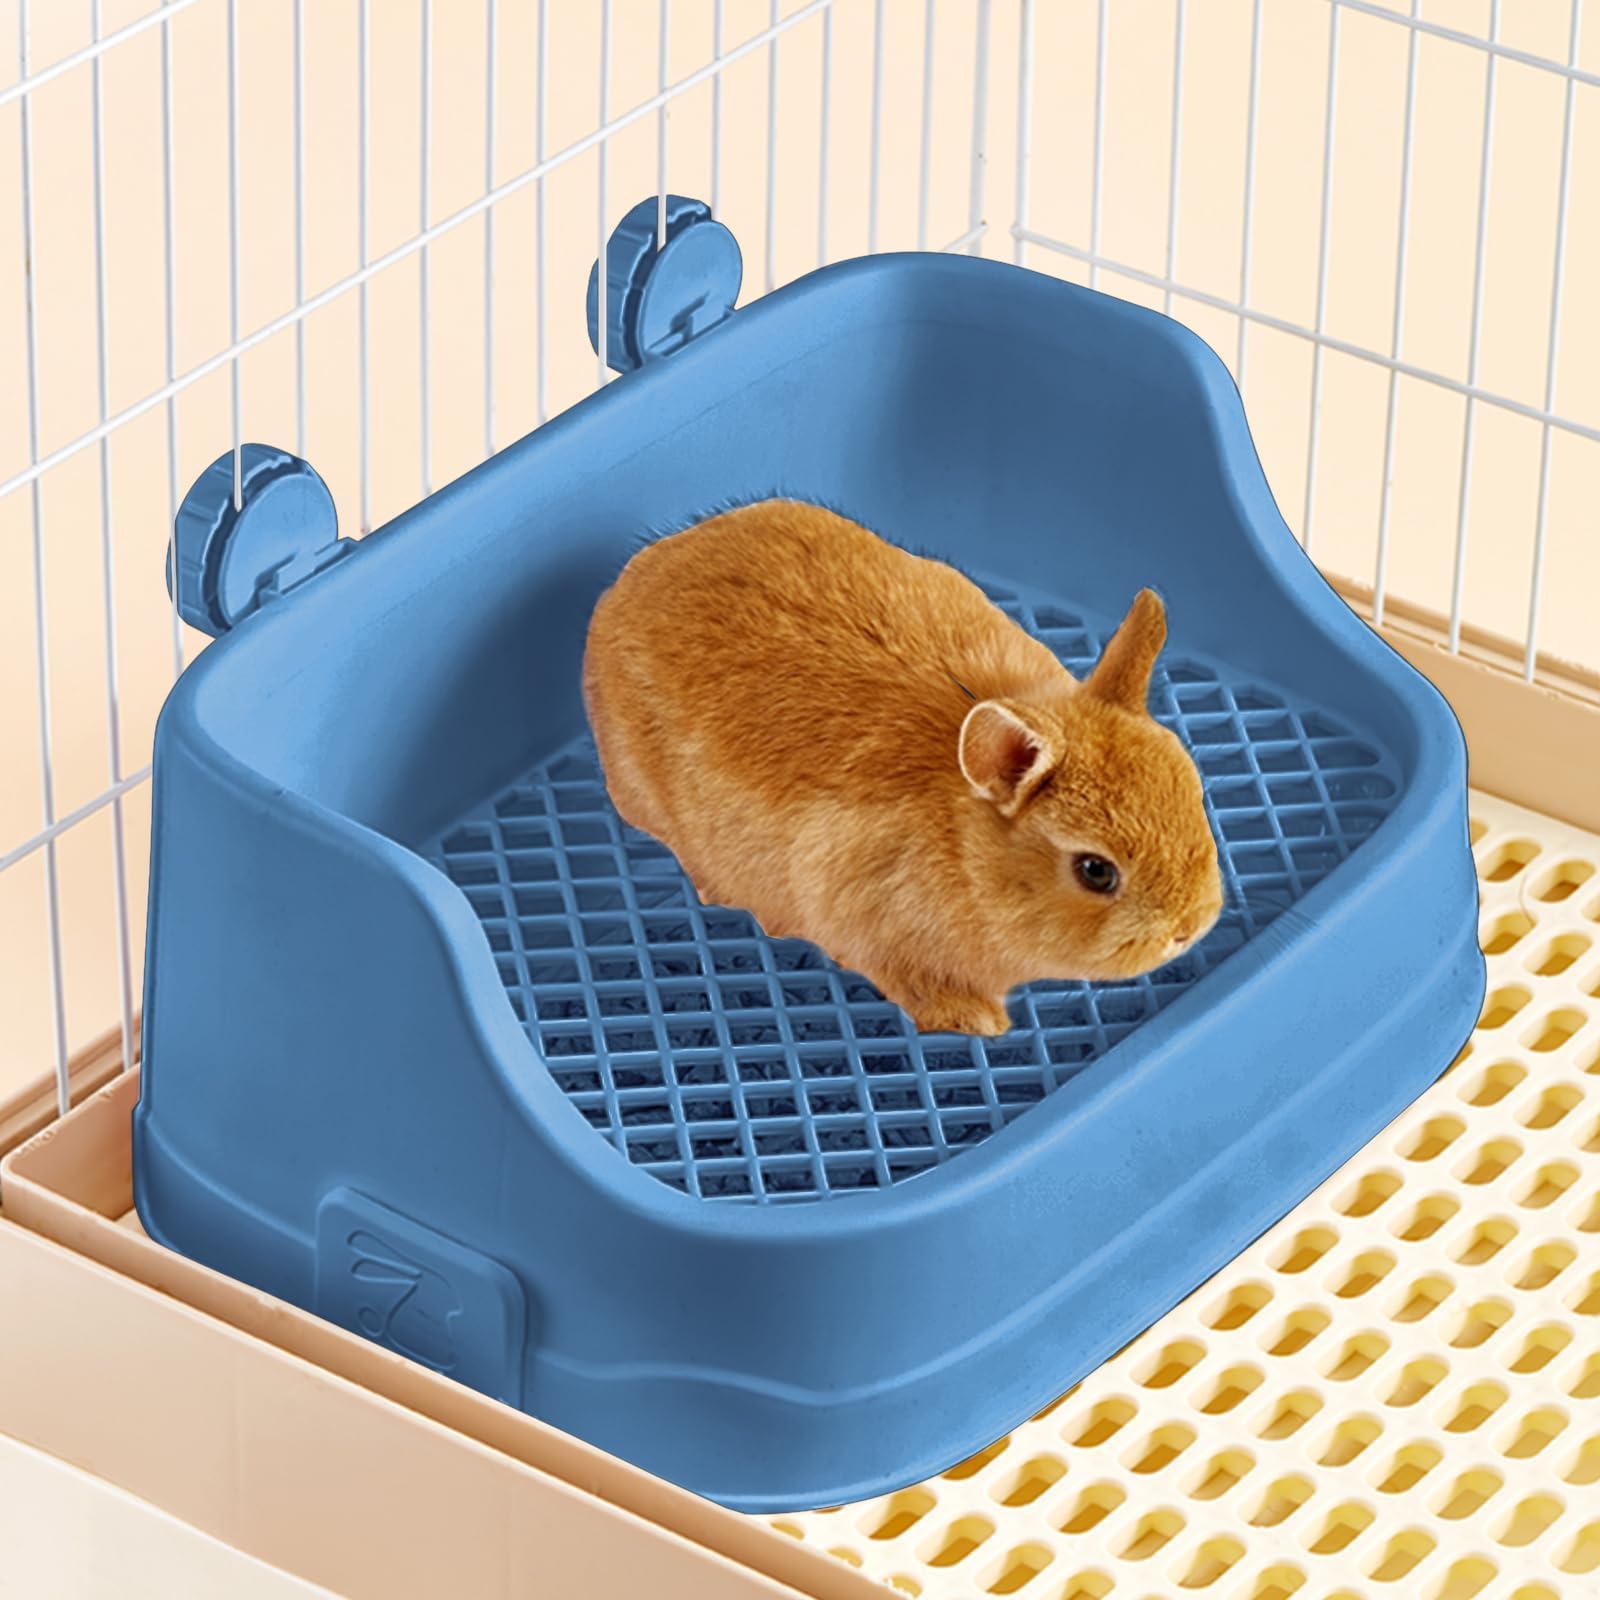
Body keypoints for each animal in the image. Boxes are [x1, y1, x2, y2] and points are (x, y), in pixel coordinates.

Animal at [583, 500, 1223, 1036]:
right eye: (1096, 871)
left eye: (1193, 791)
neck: (965, 847)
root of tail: (628, 584)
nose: (1188, 928)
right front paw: (981, 1023)